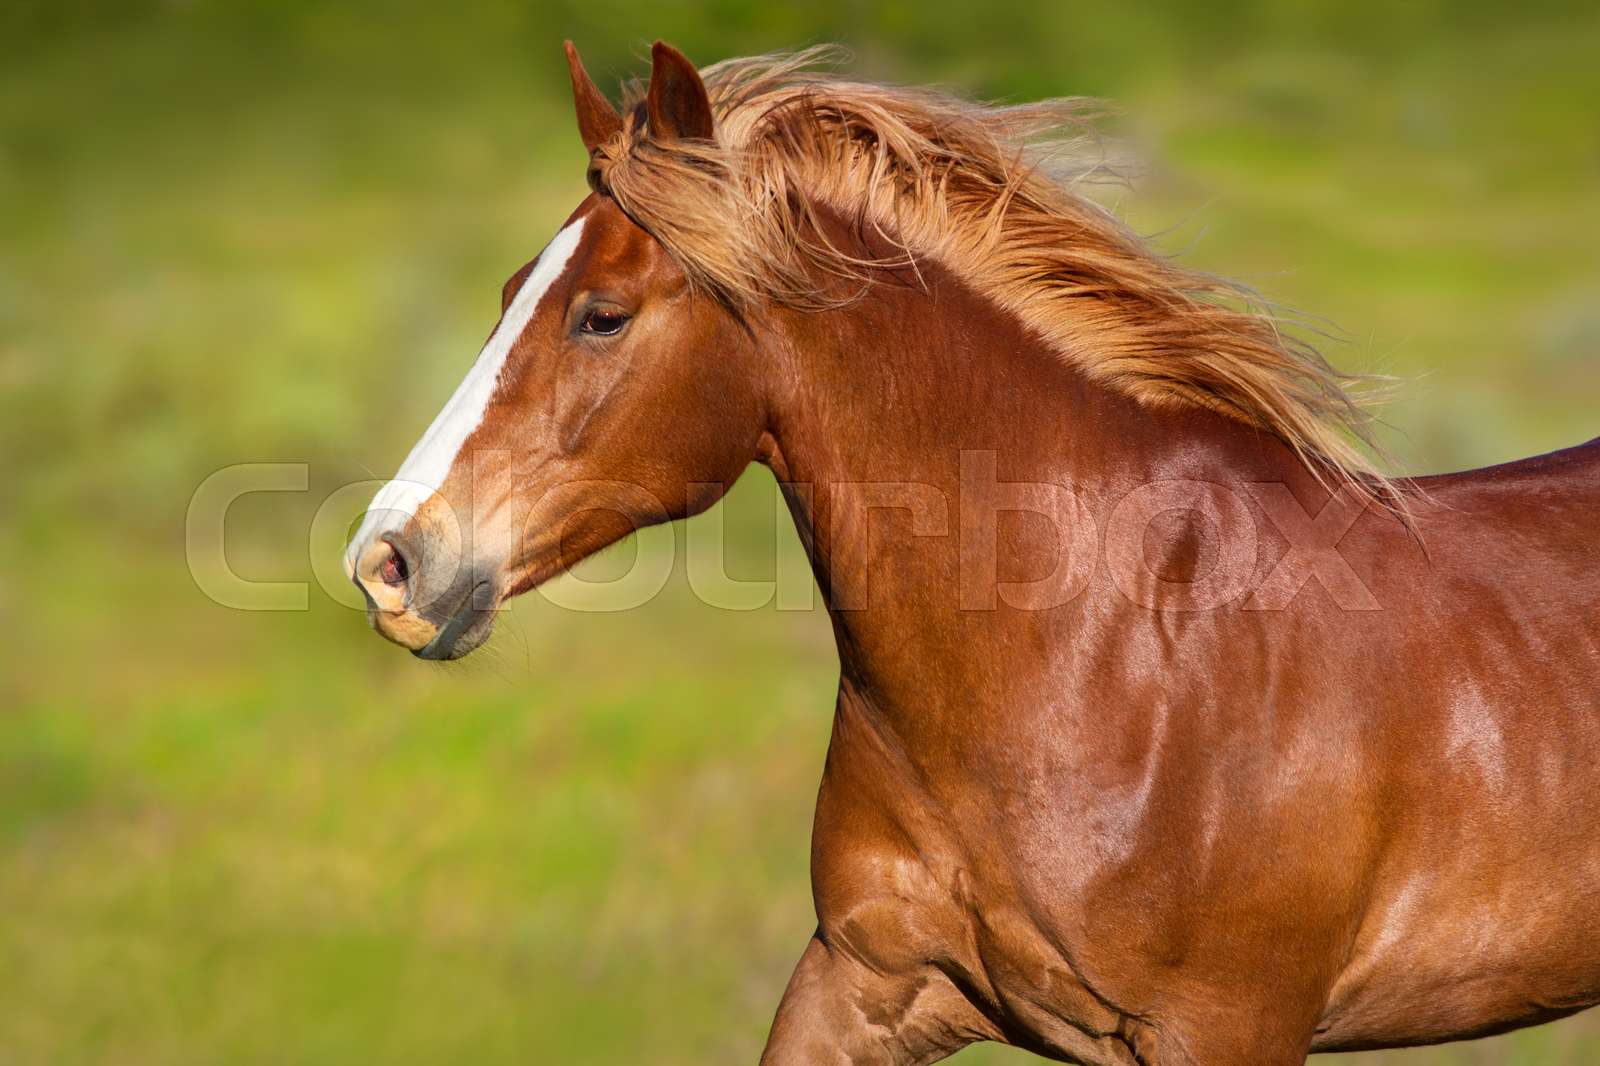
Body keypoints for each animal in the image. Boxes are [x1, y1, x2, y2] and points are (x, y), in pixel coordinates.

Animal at [344, 41, 1600, 1065]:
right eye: (512, 289)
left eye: (599, 313)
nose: (389, 562)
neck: (1113, 658)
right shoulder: (867, 981)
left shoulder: (1224, 1025)